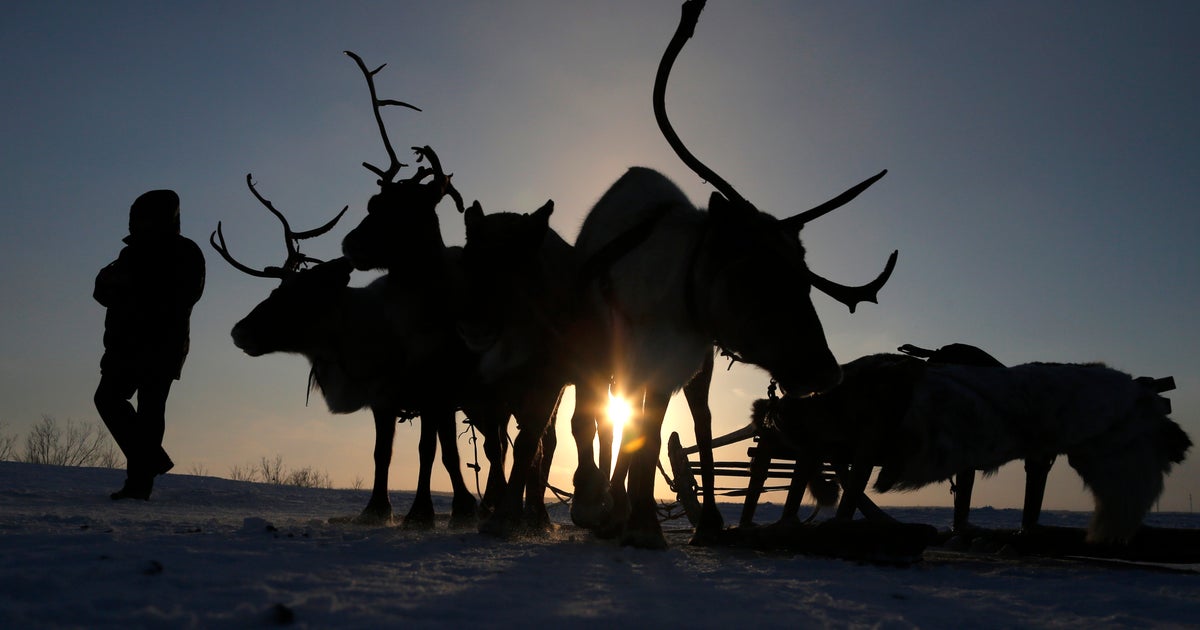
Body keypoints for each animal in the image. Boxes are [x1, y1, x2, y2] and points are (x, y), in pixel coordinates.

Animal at [212, 174, 489, 528]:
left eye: (298, 294)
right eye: (276, 290)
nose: (239, 331)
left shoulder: (432, 394)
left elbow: (432, 452)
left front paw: (426, 513)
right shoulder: (385, 399)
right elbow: (385, 454)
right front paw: (377, 510)